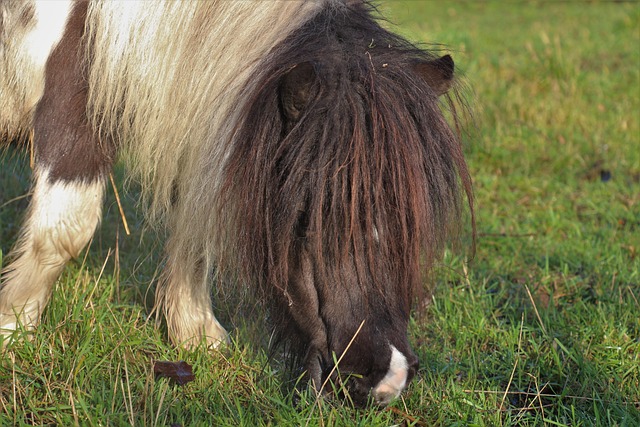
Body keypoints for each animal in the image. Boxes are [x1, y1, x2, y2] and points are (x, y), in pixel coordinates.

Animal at [0, 0, 473, 407]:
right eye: (308, 218)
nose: (387, 379)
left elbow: (198, 223)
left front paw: (195, 332)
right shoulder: (71, 119)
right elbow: (63, 231)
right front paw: (13, 329)